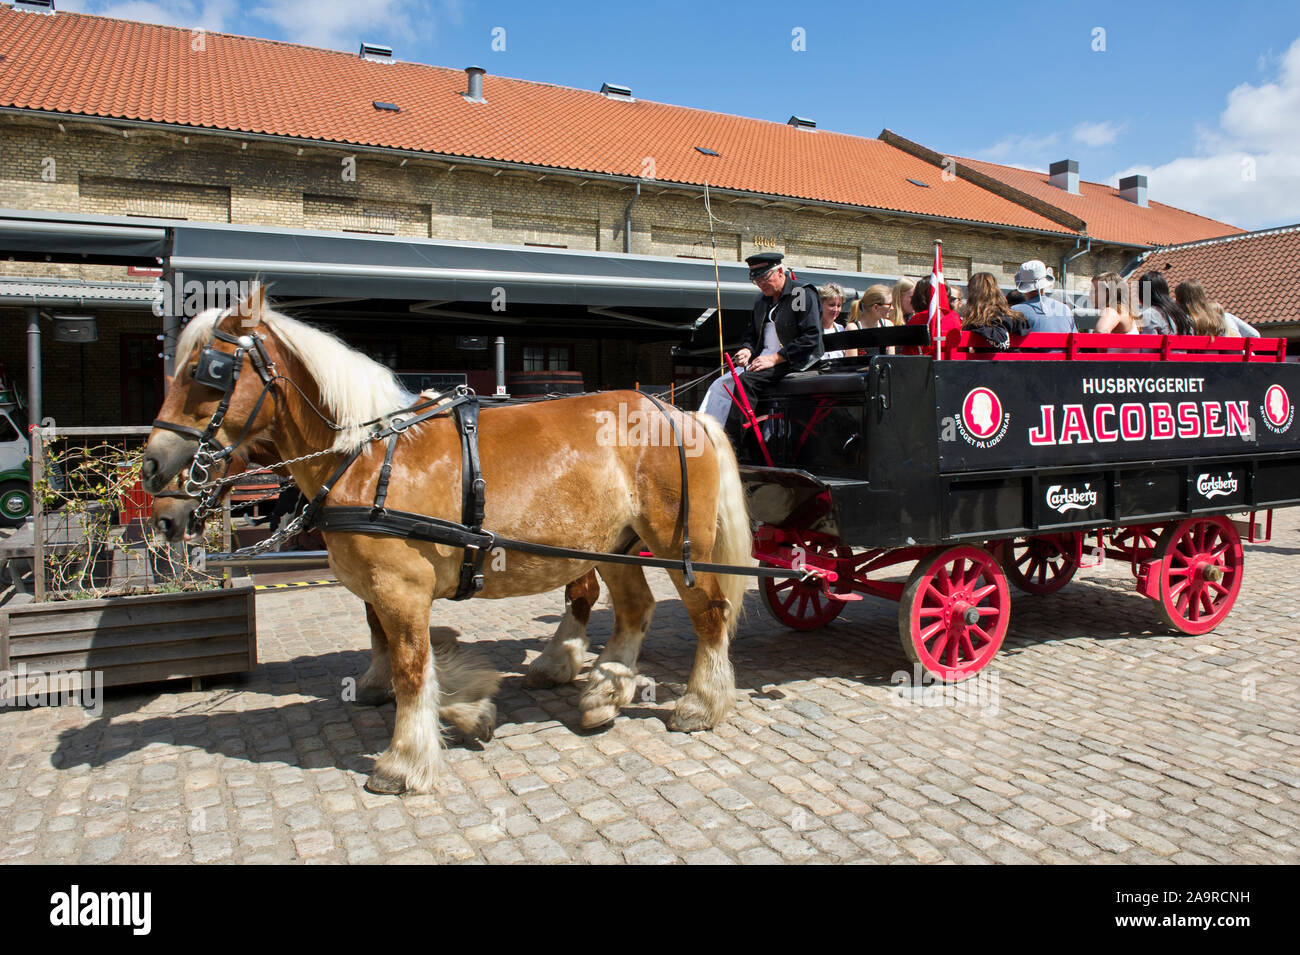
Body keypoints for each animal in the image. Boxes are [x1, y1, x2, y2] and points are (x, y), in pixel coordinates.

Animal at [141, 285, 752, 794]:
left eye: (207, 371)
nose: (151, 473)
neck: (367, 456)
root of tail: (677, 412)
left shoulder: (402, 586)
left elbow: (413, 667)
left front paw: (405, 761)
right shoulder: (382, 586)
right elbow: (397, 649)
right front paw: (464, 707)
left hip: (676, 544)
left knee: (709, 612)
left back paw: (700, 703)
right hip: (609, 546)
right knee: (634, 609)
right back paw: (605, 692)